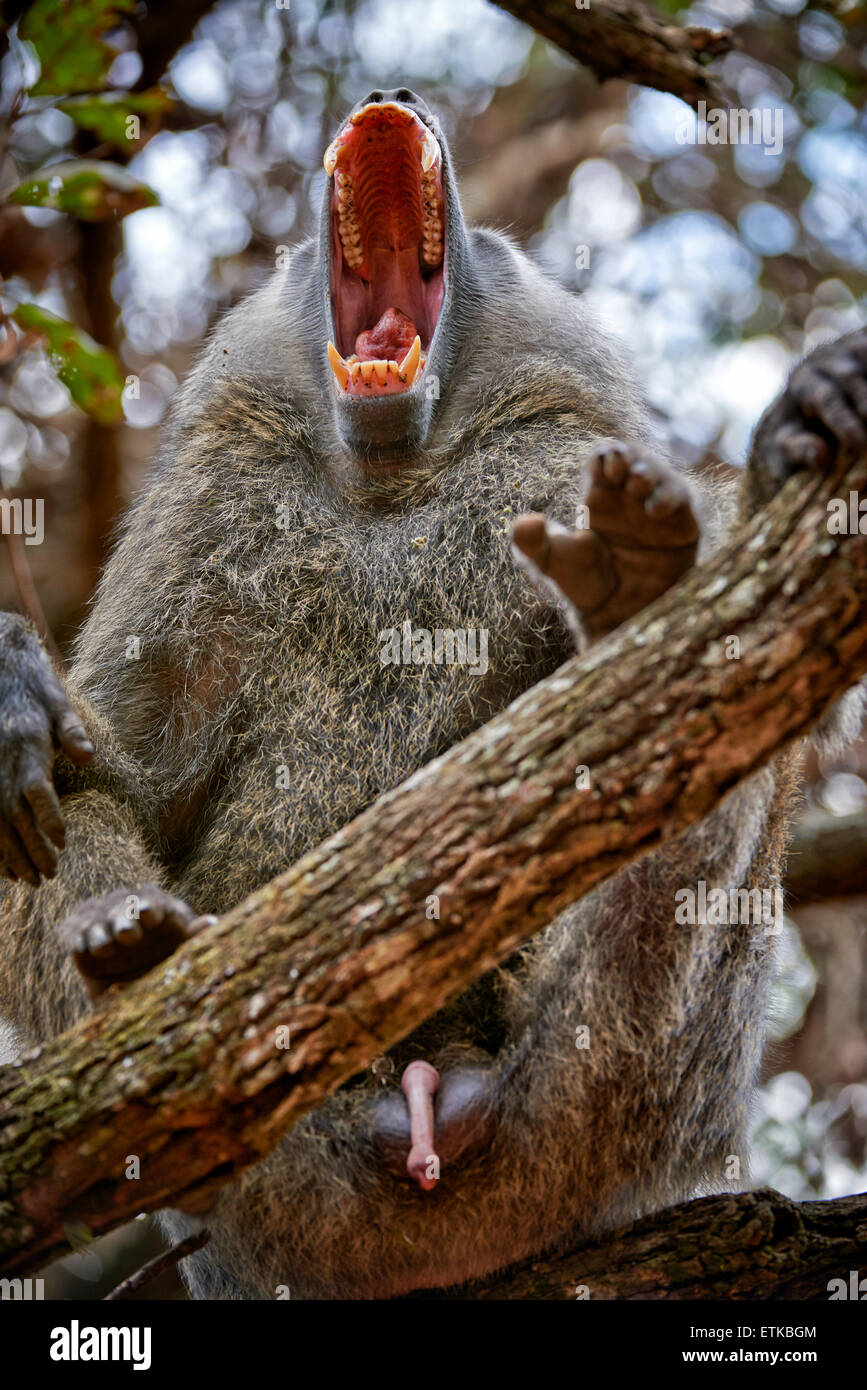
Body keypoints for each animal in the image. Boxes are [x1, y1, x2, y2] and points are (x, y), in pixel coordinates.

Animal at [1, 88, 866, 1300]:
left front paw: (806, 419)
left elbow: (794, 677)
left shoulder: (562, 462)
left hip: (646, 1107)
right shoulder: (212, 510)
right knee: (50, 813)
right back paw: (133, 958)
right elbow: (113, 779)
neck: (390, 478)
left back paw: (640, 594)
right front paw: (18, 700)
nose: (397, 93)